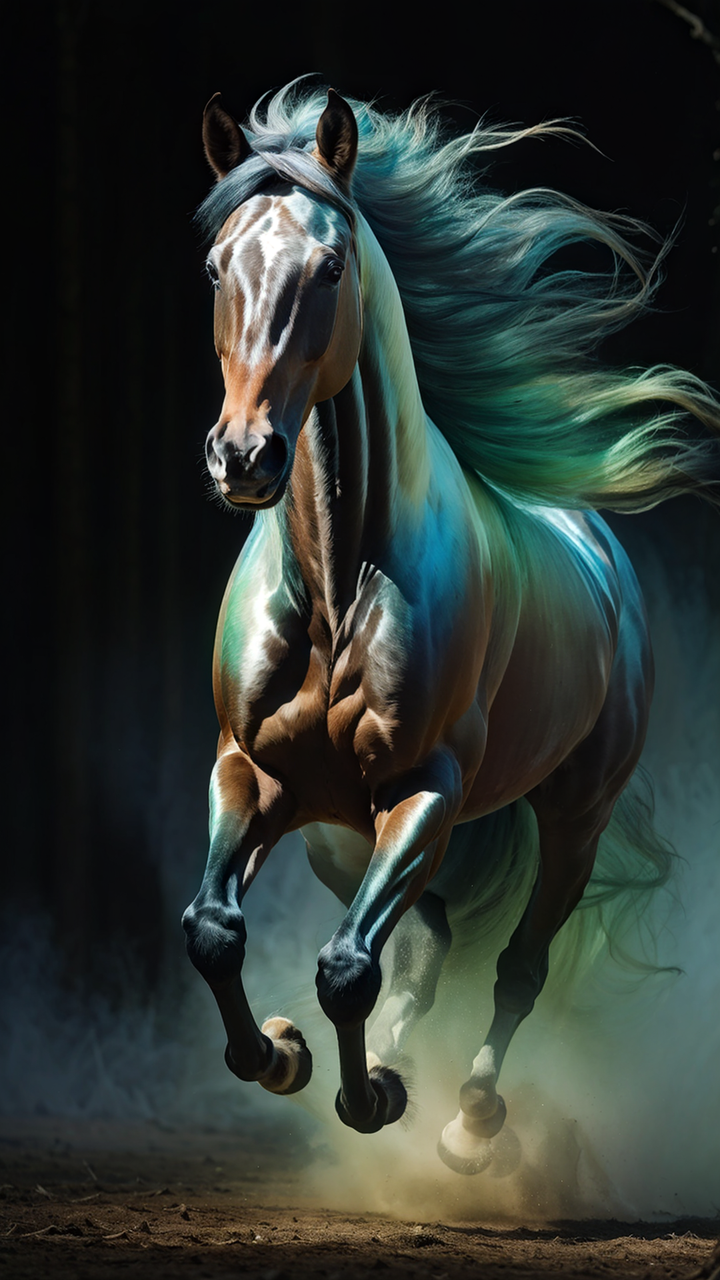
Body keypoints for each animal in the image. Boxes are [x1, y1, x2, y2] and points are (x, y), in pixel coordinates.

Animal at [182, 84, 719, 1174]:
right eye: (217, 265)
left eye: (330, 266)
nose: (244, 458)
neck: (338, 587)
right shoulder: (248, 769)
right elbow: (214, 930)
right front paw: (288, 1057)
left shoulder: (425, 786)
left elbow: (347, 966)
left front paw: (365, 1097)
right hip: (343, 835)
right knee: (423, 952)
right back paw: (398, 1067)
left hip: (569, 817)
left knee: (515, 966)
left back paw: (470, 1123)